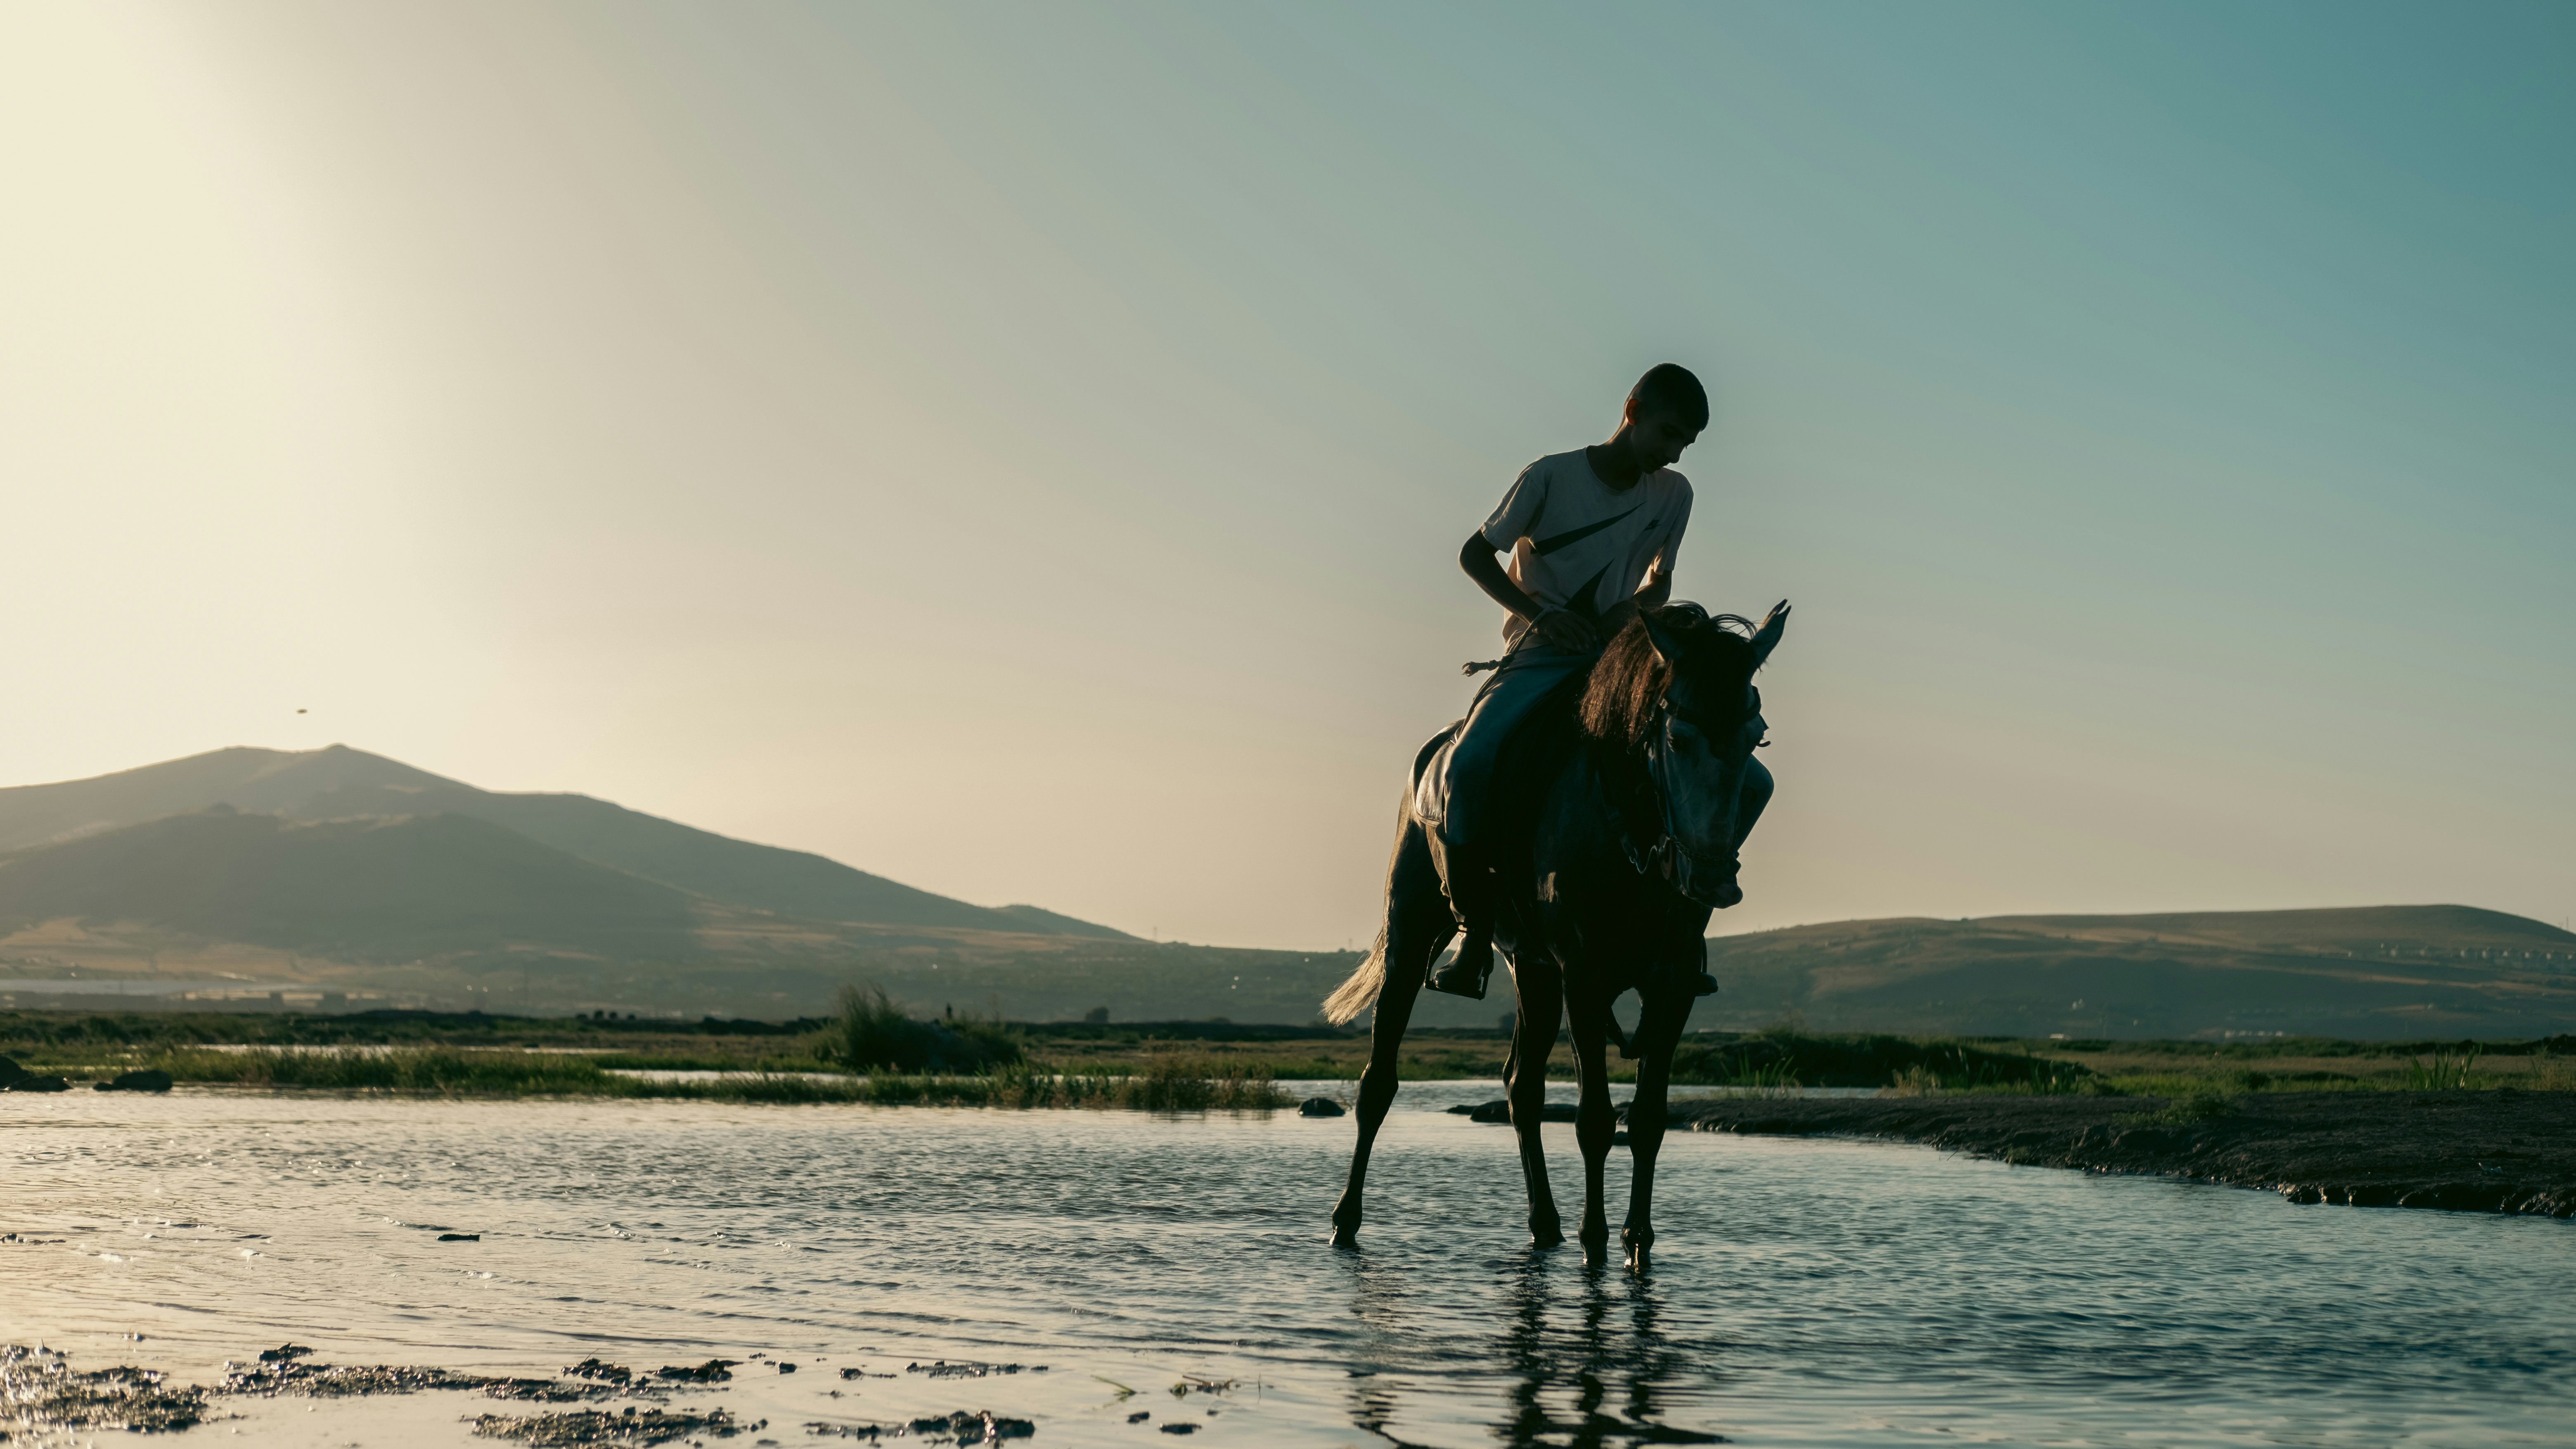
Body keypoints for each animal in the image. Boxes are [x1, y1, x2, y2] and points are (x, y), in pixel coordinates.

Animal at [1321, 600, 1788, 1269]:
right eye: (1678, 738)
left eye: (1757, 738)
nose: (1713, 880)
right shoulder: (1585, 976)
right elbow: (1595, 1119)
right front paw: (1597, 1243)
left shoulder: (1672, 983)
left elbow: (1648, 1119)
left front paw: (1637, 1243)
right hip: (1415, 934)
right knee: (1378, 1083)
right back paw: (1345, 1221)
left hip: (1533, 972)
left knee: (1523, 1089)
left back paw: (1545, 1223)